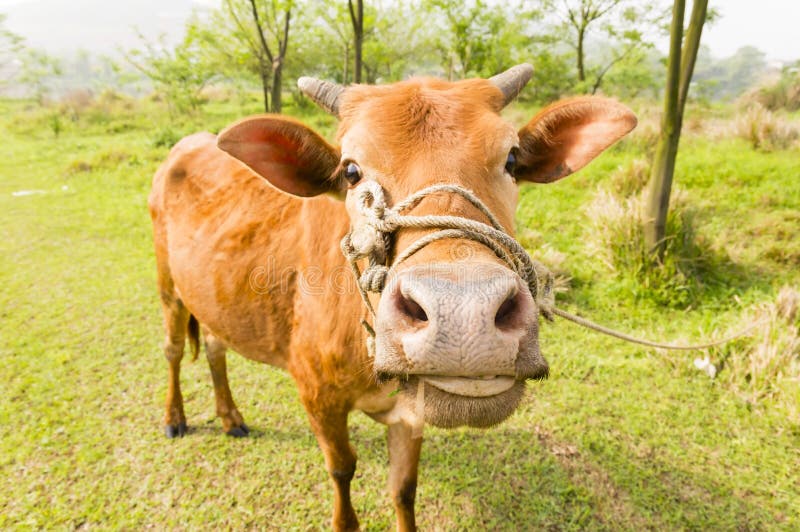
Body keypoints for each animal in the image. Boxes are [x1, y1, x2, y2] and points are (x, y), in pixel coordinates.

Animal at [148, 64, 636, 531]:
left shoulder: (410, 416)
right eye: (350, 171)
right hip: (168, 286)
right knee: (173, 349)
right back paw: (174, 418)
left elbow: (403, 489)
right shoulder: (316, 396)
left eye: (512, 158)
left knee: (215, 348)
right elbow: (342, 471)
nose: (465, 316)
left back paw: (230, 417)